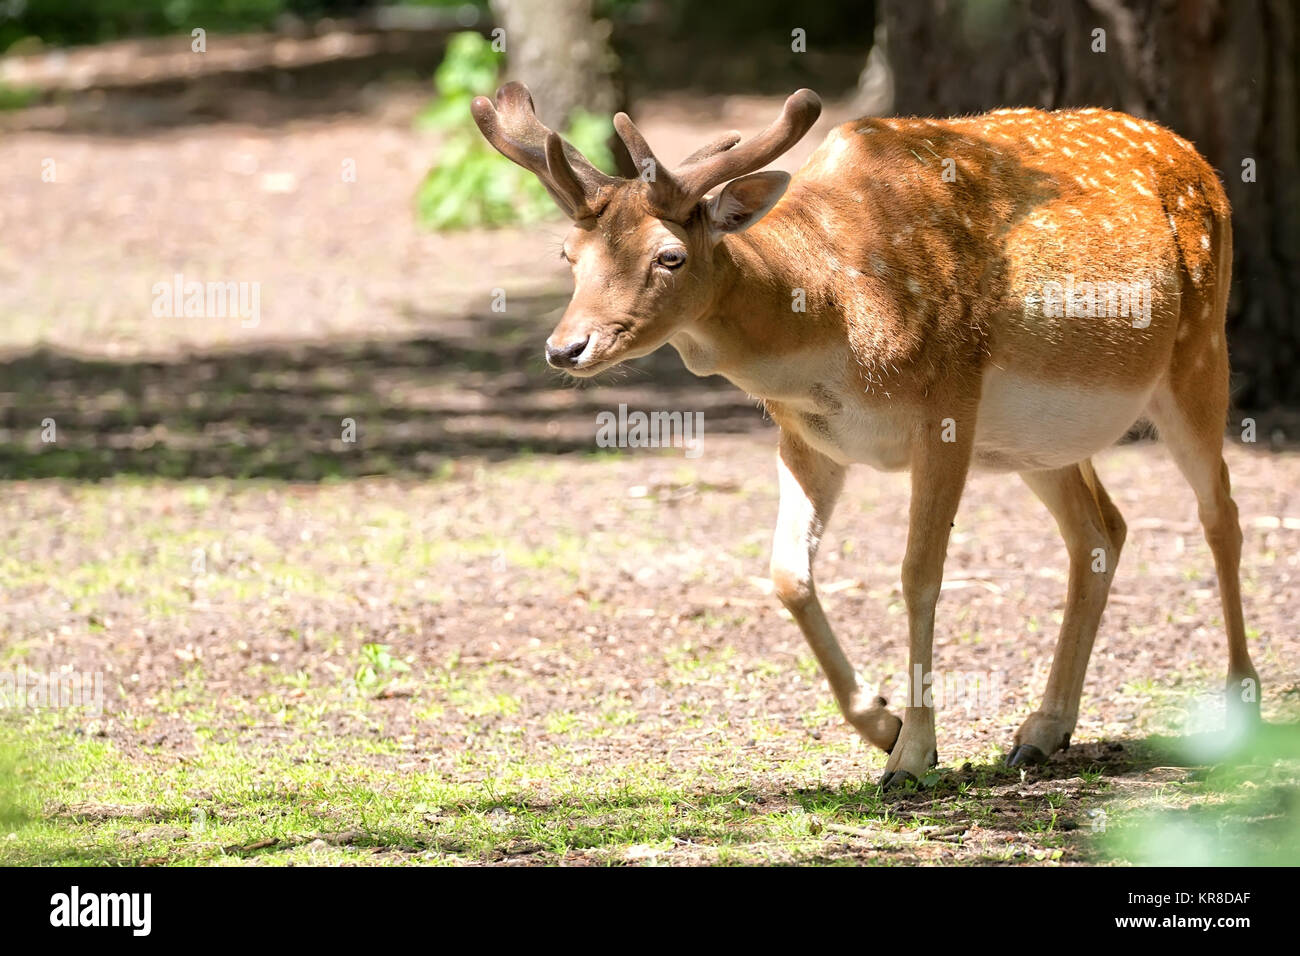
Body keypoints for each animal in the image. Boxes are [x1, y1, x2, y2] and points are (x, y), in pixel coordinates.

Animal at [471, 82, 1261, 787]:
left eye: (670, 256)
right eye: (568, 256)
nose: (565, 348)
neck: (833, 318)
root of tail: (1202, 162)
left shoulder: (947, 404)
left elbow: (918, 575)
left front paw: (912, 755)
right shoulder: (809, 438)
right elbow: (786, 573)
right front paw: (883, 723)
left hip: (1197, 351)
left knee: (1220, 512)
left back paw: (1240, 706)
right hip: (1034, 441)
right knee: (1103, 529)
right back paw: (1041, 732)